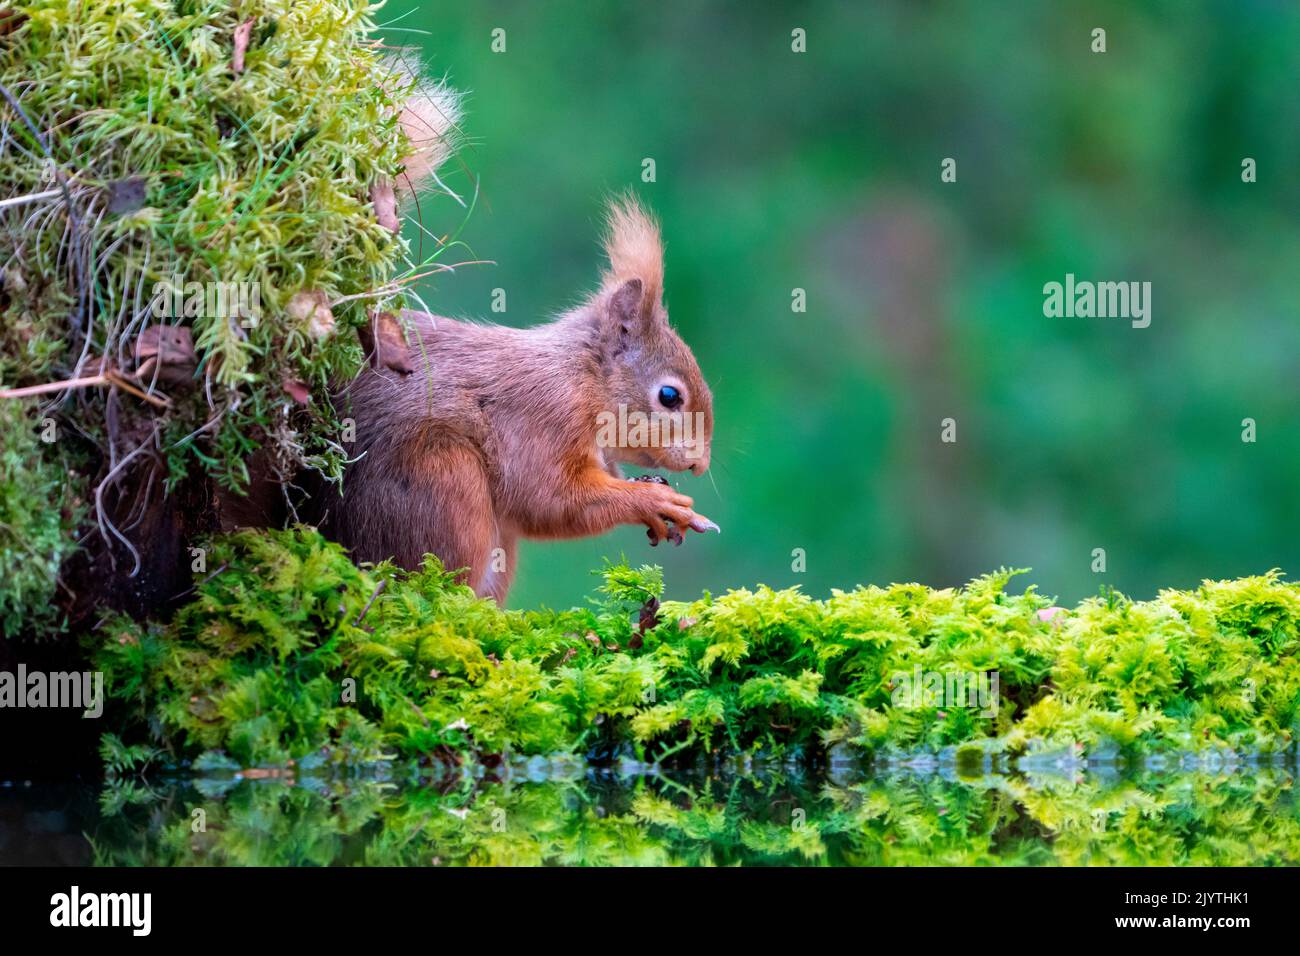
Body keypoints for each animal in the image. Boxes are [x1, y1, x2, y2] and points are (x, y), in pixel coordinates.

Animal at [323, 197, 718, 603]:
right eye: (669, 396)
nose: (700, 464)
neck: (585, 380)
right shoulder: (543, 417)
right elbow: (550, 500)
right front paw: (653, 501)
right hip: (441, 481)